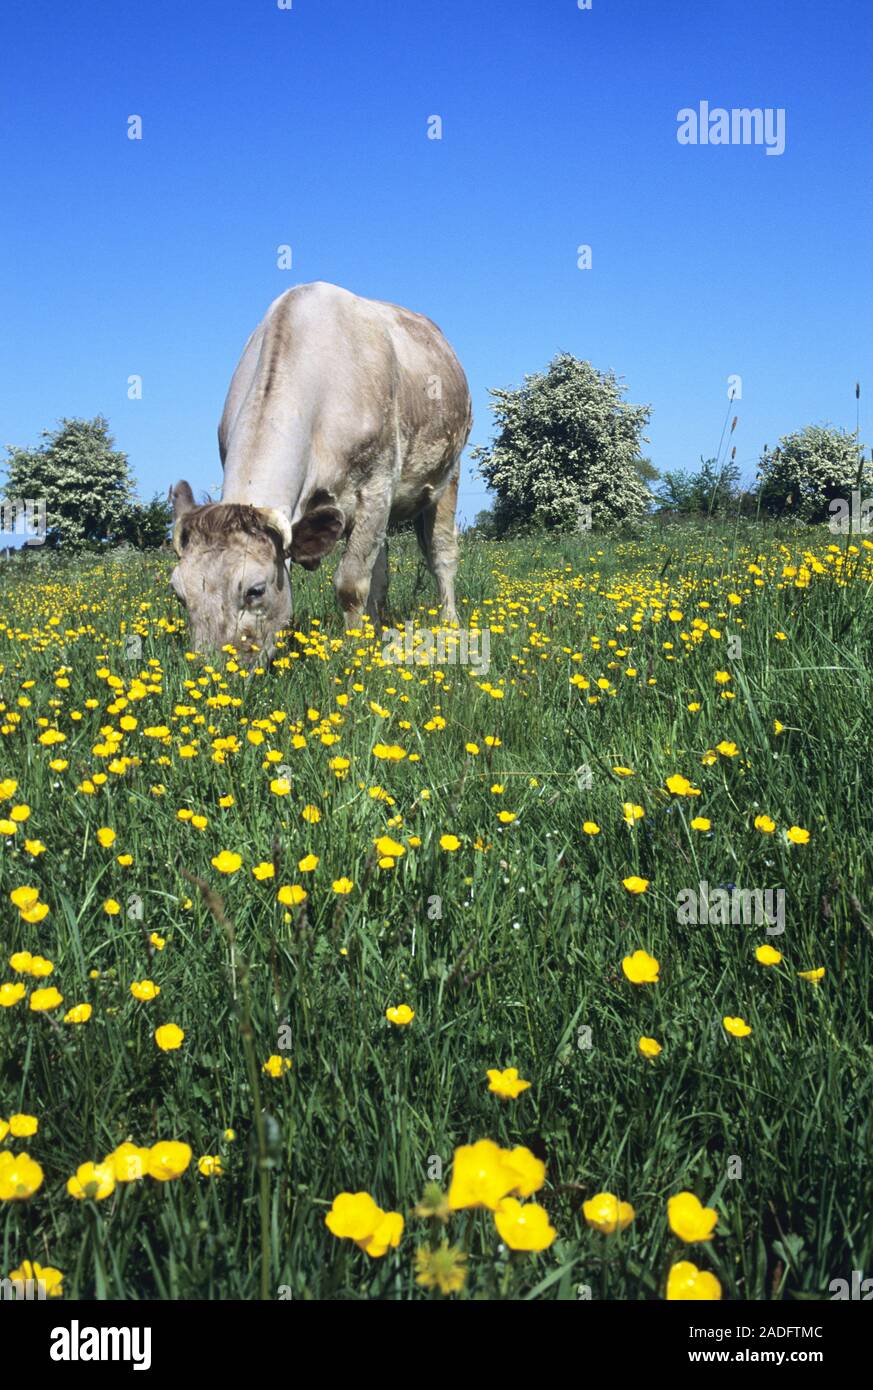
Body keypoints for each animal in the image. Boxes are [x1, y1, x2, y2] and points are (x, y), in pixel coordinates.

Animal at [169, 281, 471, 661]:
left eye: (255, 590)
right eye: (179, 593)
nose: (211, 670)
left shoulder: (377, 486)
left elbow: (351, 583)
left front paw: (355, 649)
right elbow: (370, 574)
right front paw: (366, 636)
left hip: (448, 473)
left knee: (441, 554)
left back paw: (450, 622)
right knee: (381, 570)